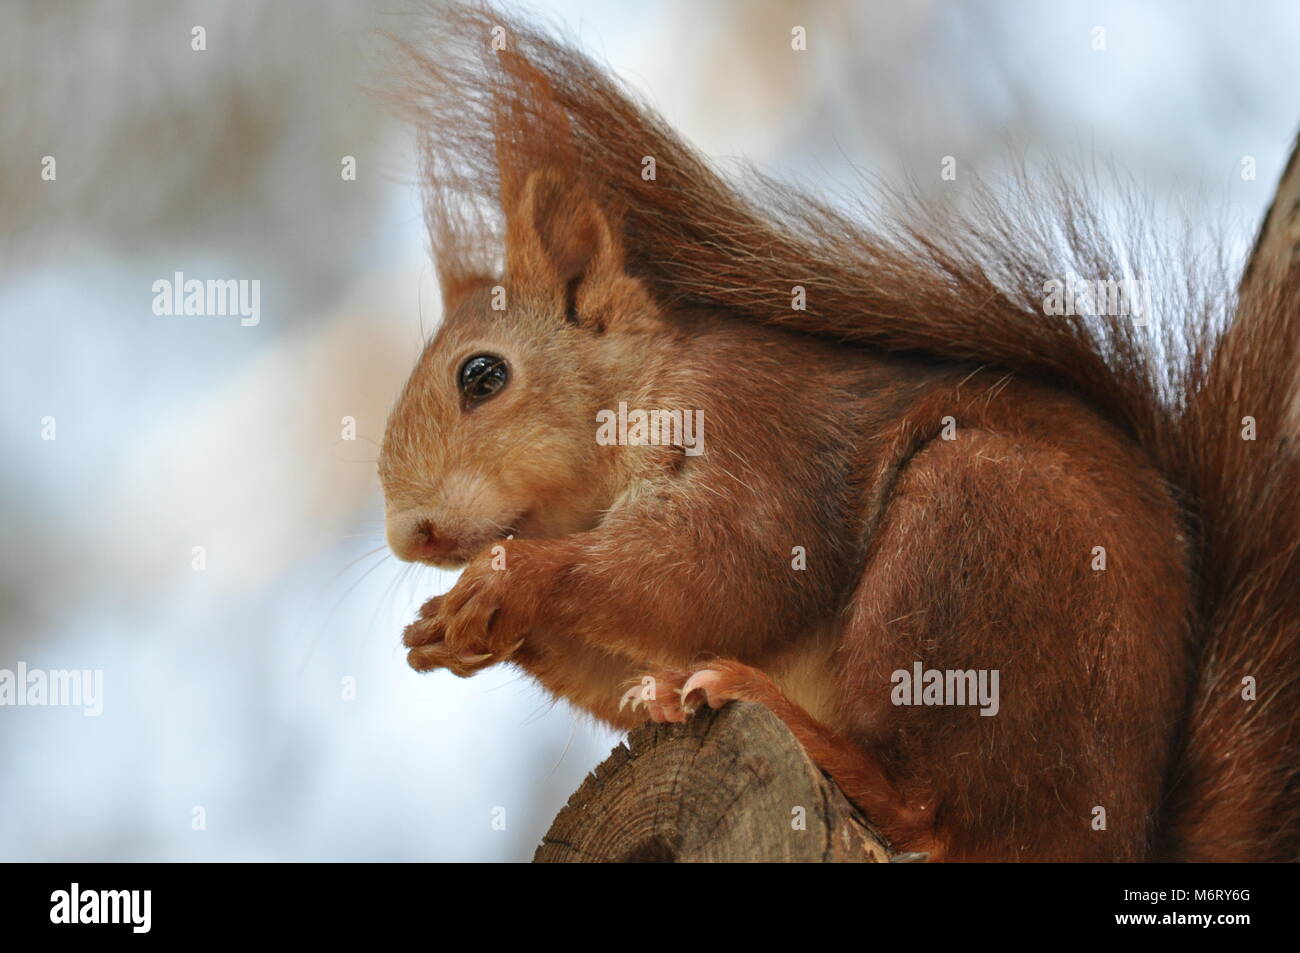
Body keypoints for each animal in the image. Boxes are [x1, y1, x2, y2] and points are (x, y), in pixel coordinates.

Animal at [379, 4, 1299, 862]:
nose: (405, 534)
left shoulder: (757, 423)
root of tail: (1118, 832)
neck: (642, 393)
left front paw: (515, 575)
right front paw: (444, 628)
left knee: (928, 805)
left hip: (974, 533)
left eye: (482, 376)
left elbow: (726, 571)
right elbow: (625, 657)